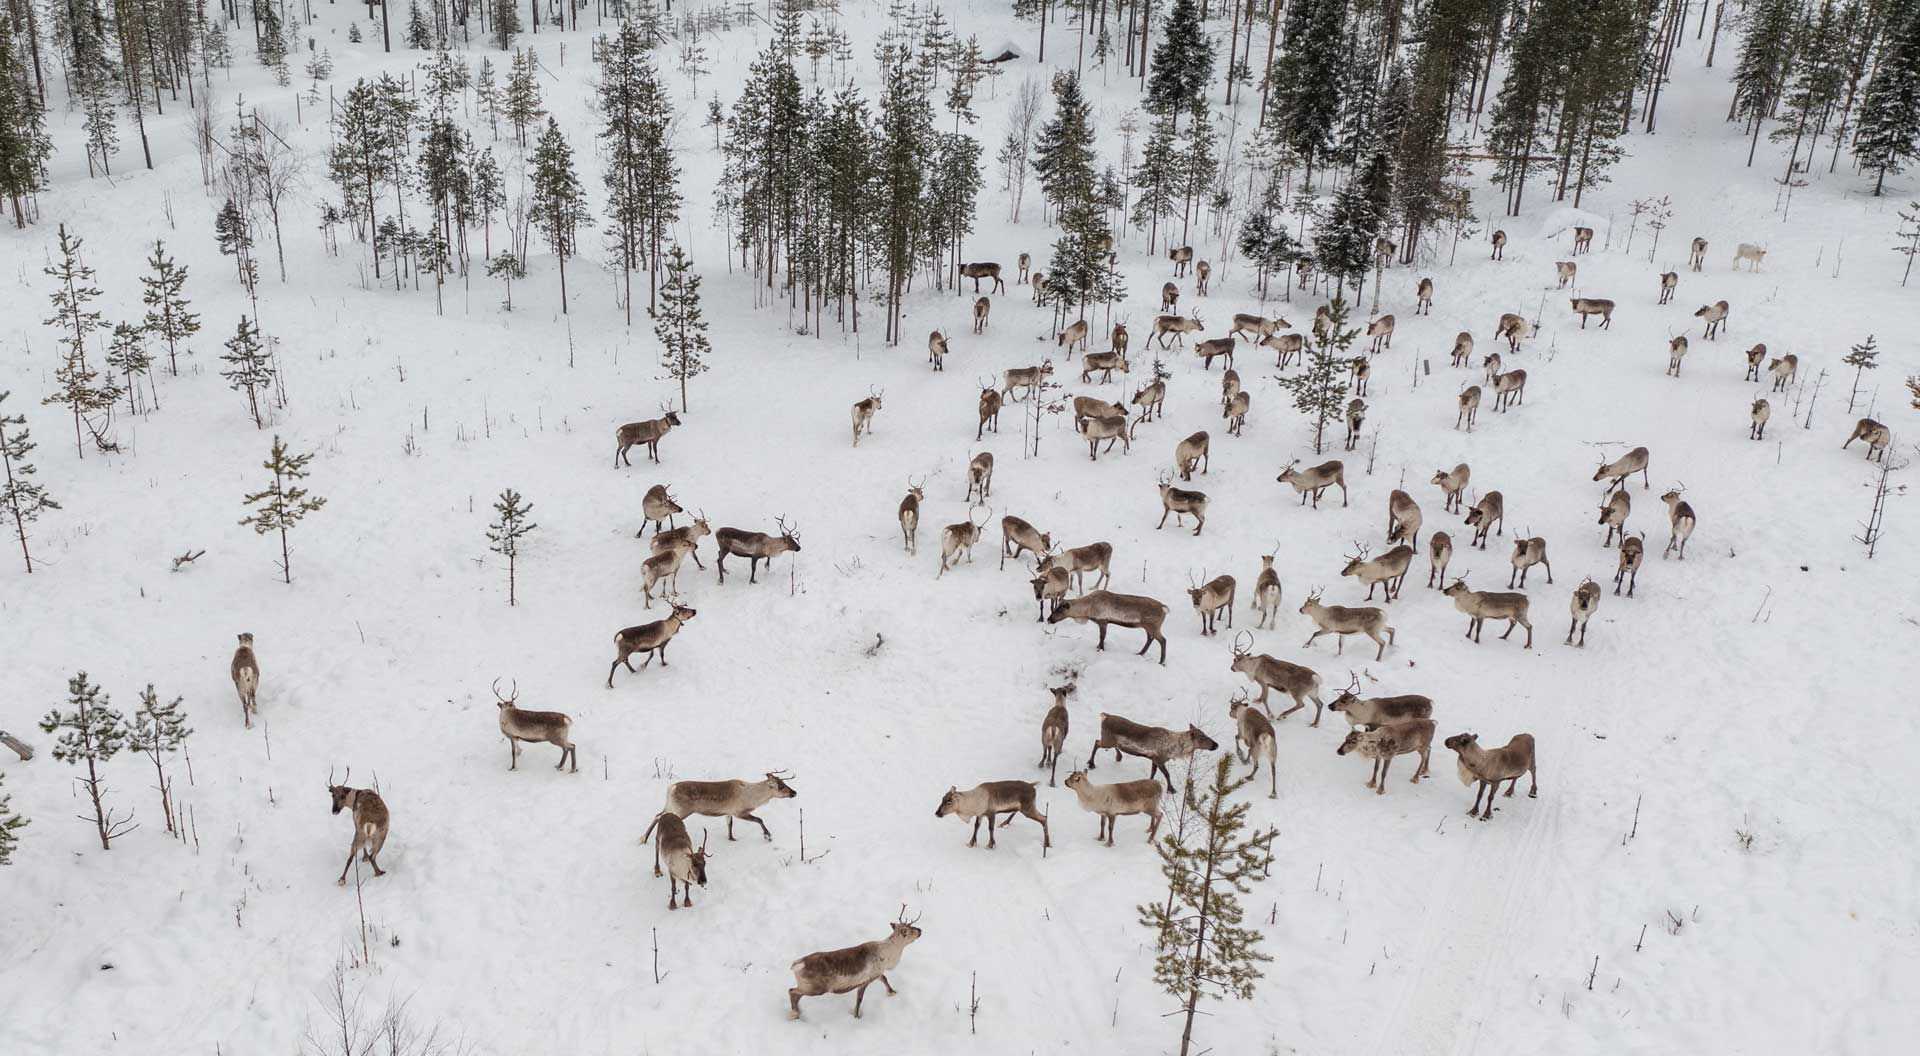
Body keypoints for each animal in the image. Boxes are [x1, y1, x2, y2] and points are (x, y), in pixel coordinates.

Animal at [643, 772, 798, 843]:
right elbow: (759, 819)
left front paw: (731, 838)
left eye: (784, 783)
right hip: (681, 810)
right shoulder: (739, 812)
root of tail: (671, 788)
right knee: (661, 817)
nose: (794, 792)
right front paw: (768, 835)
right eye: (780, 786)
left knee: (657, 815)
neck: (753, 796)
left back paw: (644, 839)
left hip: (670, 806)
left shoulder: (728, 813)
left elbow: (730, 825)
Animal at [787, 914, 923, 1021]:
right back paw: (794, 1015)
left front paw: (892, 992)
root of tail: (798, 964)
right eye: (910, 930)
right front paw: (856, 1016)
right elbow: (859, 999)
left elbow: (884, 978)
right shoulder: (865, 981)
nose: (920, 930)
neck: (889, 955)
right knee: (792, 991)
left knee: (794, 993)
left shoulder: (877, 973)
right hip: (816, 989)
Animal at [1085, 713, 1218, 786]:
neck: (1175, 748)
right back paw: (1091, 764)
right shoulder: (1159, 759)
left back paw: (1119, 757)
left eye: (1205, 734)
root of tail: (1105, 716)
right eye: (1202, 737)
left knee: (1113, 746)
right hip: (1106, 740)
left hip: (1112, 741)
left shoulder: (1154, 758)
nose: (1216, 745)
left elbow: (1153, 772)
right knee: (1096, 742)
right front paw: (1171, 789)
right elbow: (1167, 774)